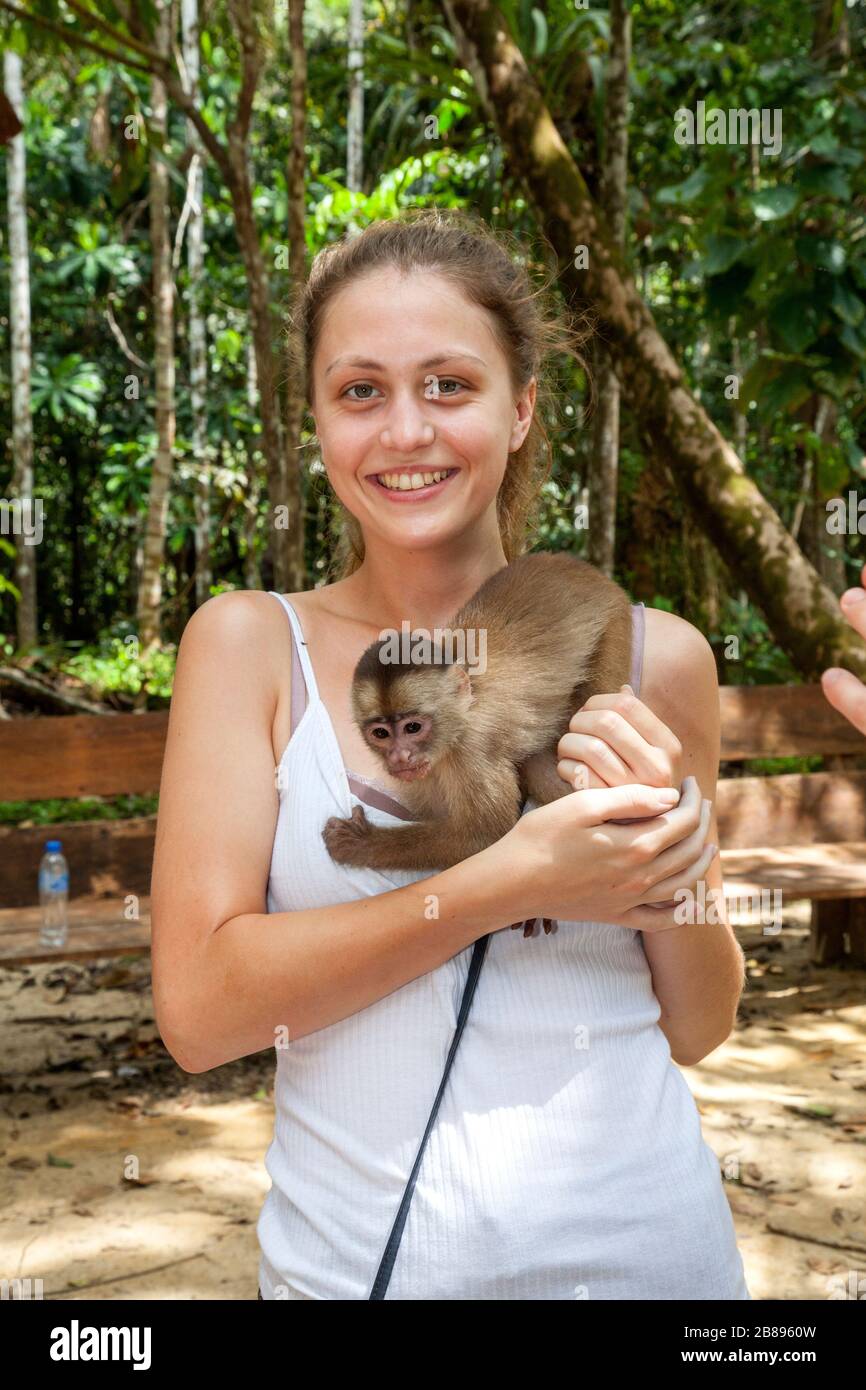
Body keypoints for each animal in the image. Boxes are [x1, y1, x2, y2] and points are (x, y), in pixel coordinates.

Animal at [322, 553, 633, 935]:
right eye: (381, 734)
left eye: (413, 727)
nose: (400, 756)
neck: (457, 719)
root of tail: (581, 568)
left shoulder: (472, 750)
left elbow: (485, 837)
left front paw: (363, 844)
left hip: (614, 623)